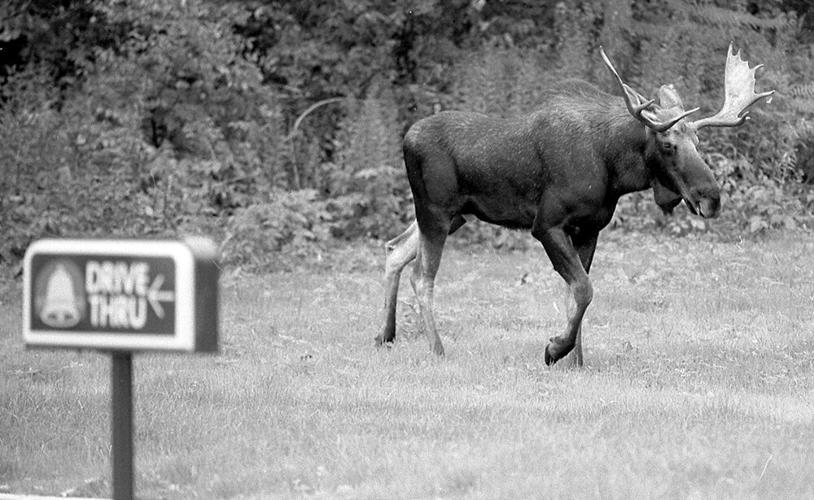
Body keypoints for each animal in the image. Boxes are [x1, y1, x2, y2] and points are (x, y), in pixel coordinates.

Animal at [376, 44, 774, 366]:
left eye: (699, 142)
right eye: (668, 145)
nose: (711, 198)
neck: (614, 171)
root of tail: (406, 138)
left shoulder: (589, 228)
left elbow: (575, 293)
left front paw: (576, 361)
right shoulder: (547, 224)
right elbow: (584, 289)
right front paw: (555, 350)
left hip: (455, 214)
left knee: (395, 248)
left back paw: (385, 335)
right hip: (435, 210)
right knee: (421, 275)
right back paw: (437, 350)